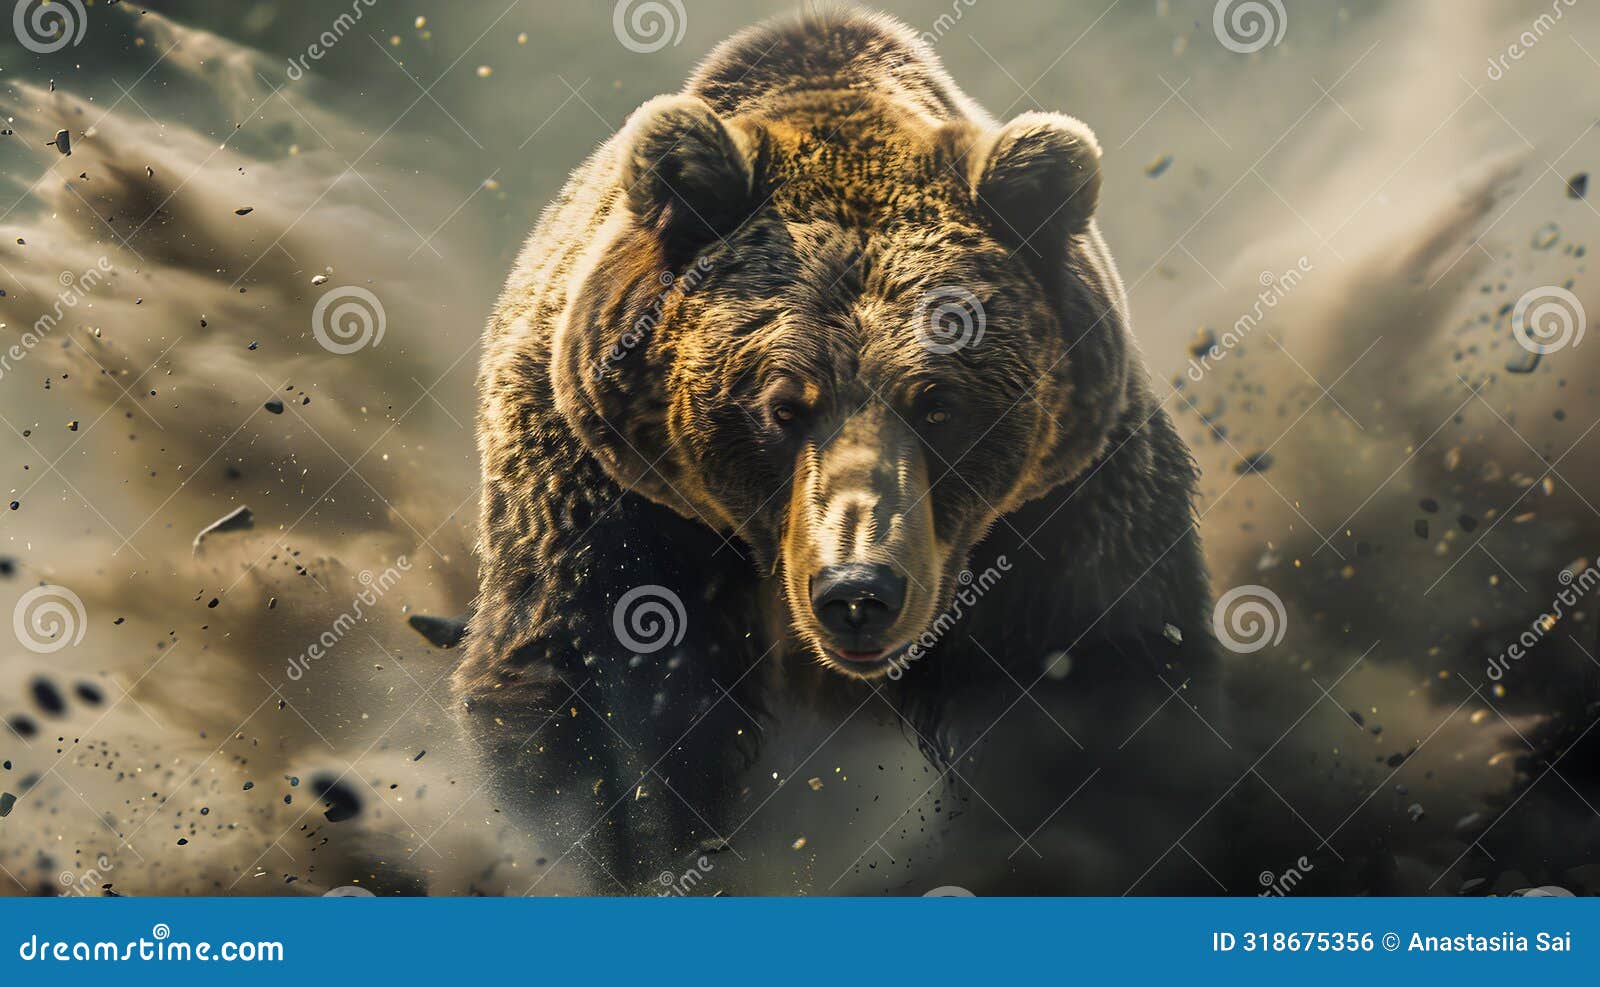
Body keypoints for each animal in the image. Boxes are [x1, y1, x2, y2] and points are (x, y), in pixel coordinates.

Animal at [453, 8, 1226, 895]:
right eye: (782, 406)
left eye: (939, 403)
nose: (859, 590)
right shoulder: (607, 496)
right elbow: (596, 695)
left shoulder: (1067, 502)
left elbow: (1096, 687)